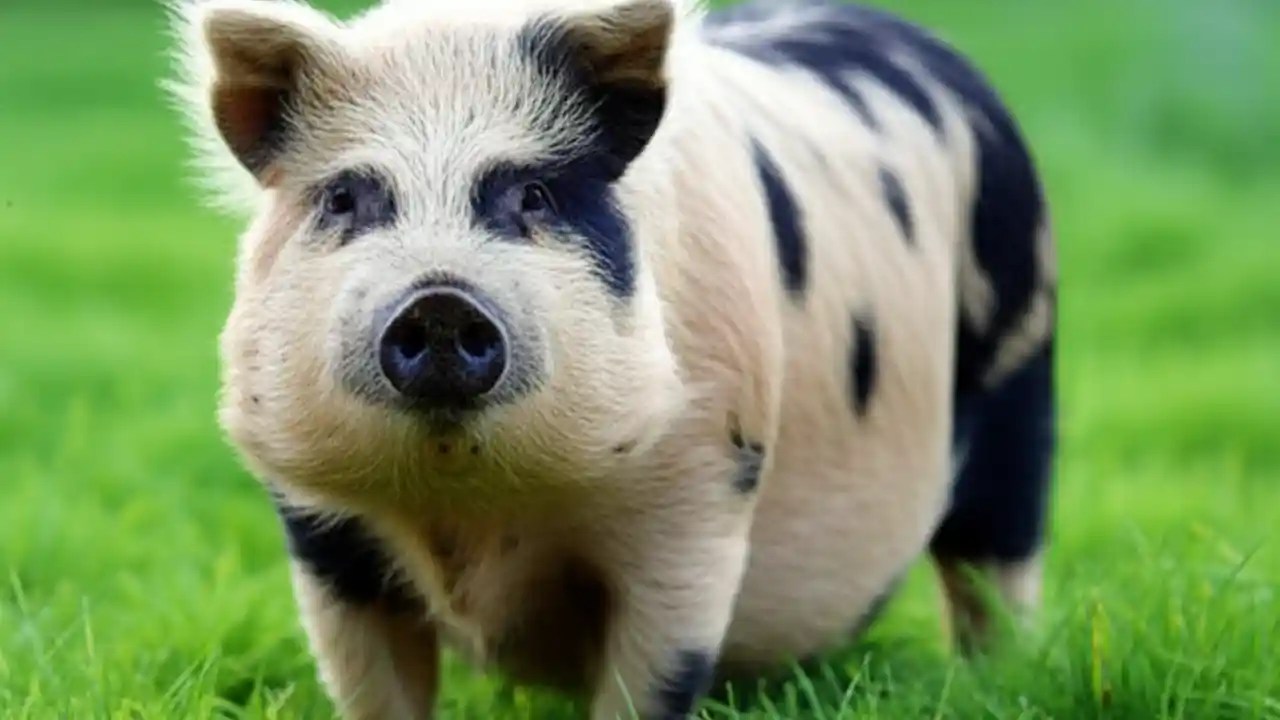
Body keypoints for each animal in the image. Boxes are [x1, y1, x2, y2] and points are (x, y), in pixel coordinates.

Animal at [166, 0, 1057, 717]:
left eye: (532, 195)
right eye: (347, 198)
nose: (440, 301)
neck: (467, 508)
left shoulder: (702, 489)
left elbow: (654, 676)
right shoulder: (321, 536)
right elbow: (373, 688)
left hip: (1023, 359)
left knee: (996, 562)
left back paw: (995, 681)